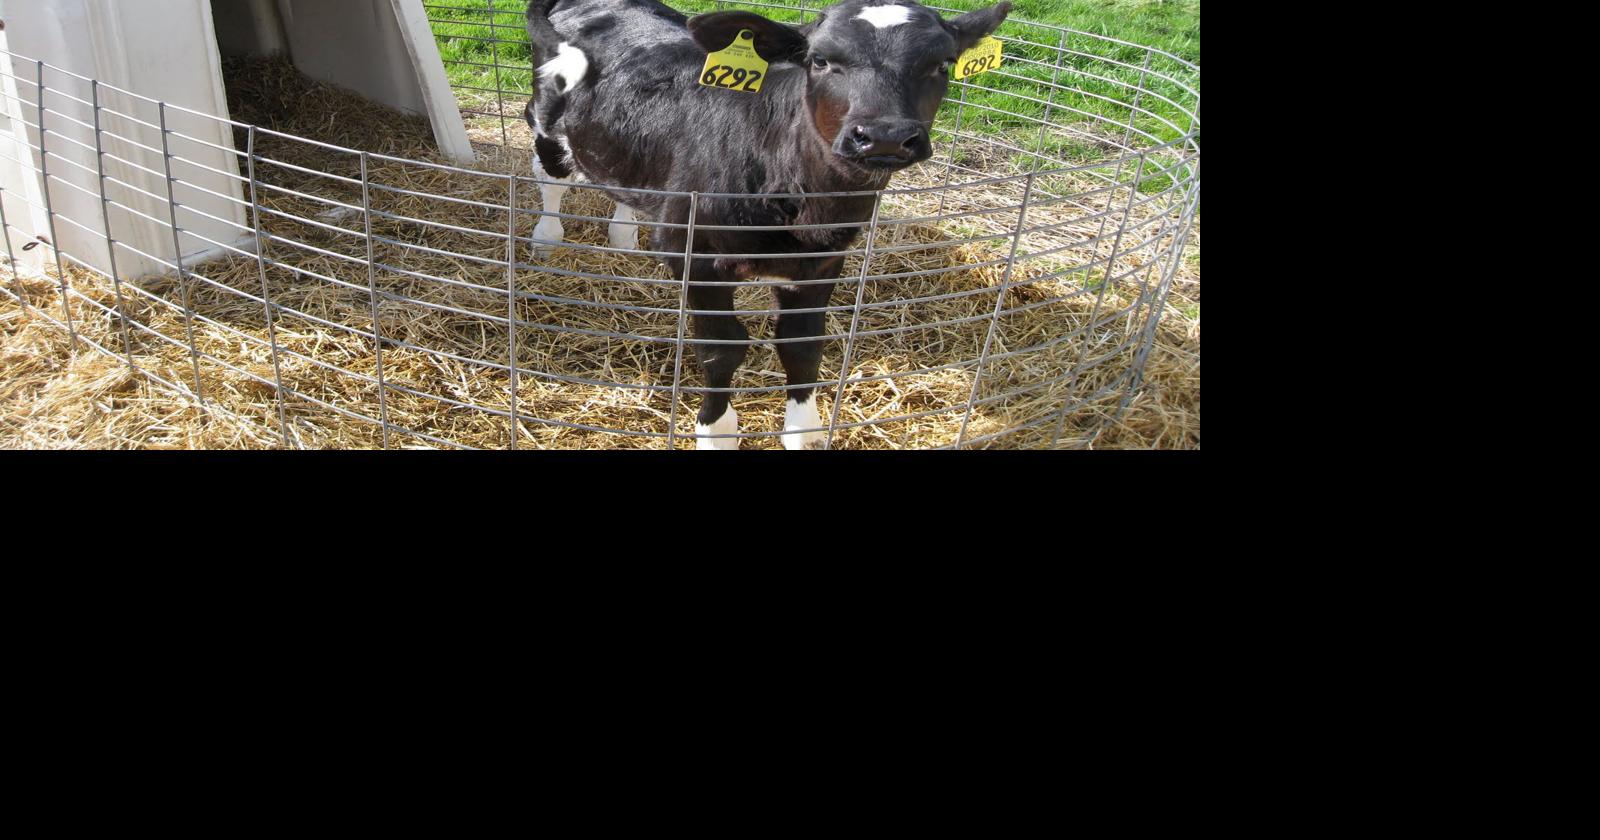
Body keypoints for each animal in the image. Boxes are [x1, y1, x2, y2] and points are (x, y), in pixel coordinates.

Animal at [522, 0, 1012, 448]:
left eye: (942, 63)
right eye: (820, 59)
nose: (885, 136)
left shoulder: (823, 262)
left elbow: (802, 346)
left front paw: (802, 430)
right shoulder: (695, 255)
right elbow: (722, 350)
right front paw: (716, 431)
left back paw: (623, 239)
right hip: (547, 120)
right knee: (551, 178)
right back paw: (546, 241)